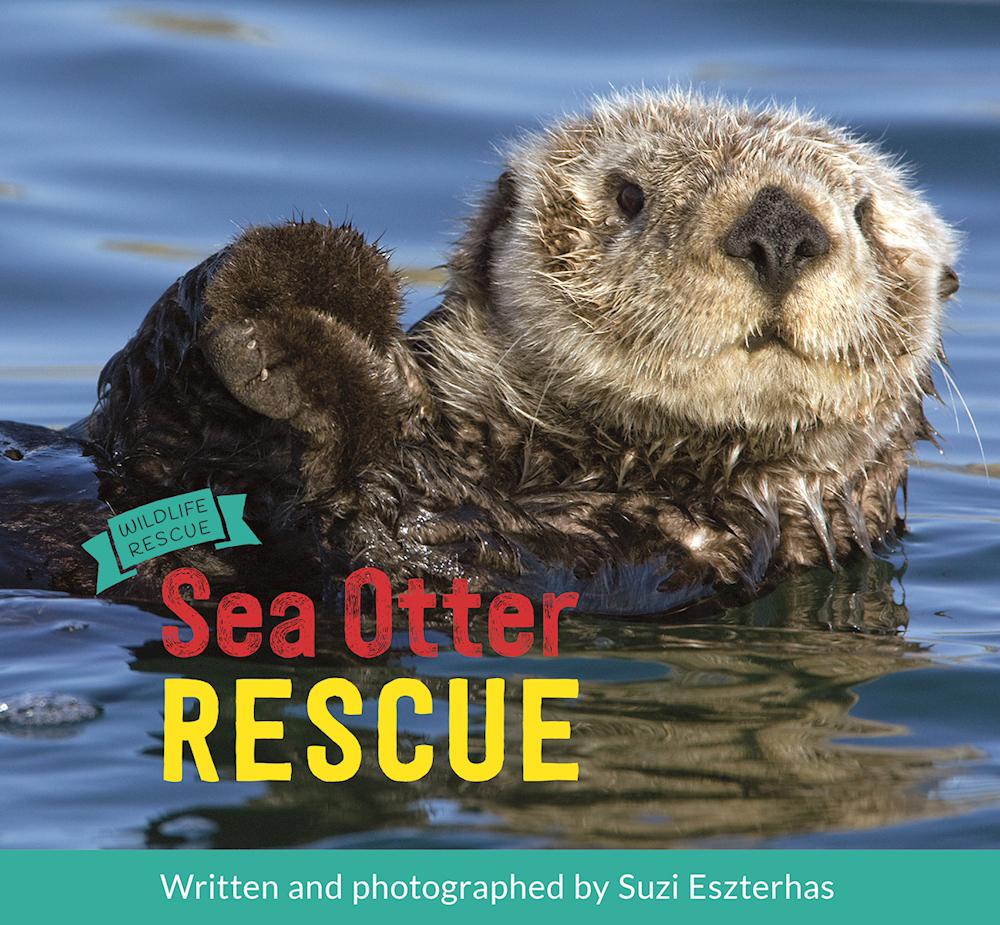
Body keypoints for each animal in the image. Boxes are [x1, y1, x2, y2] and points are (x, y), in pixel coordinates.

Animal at [3, 90, 959, 613]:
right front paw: (300, 288)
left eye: (867, 214)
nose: (782, 228)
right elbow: (141, 427)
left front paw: (295, 342)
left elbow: (387, 541)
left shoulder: (638, 555)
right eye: (629, 195)